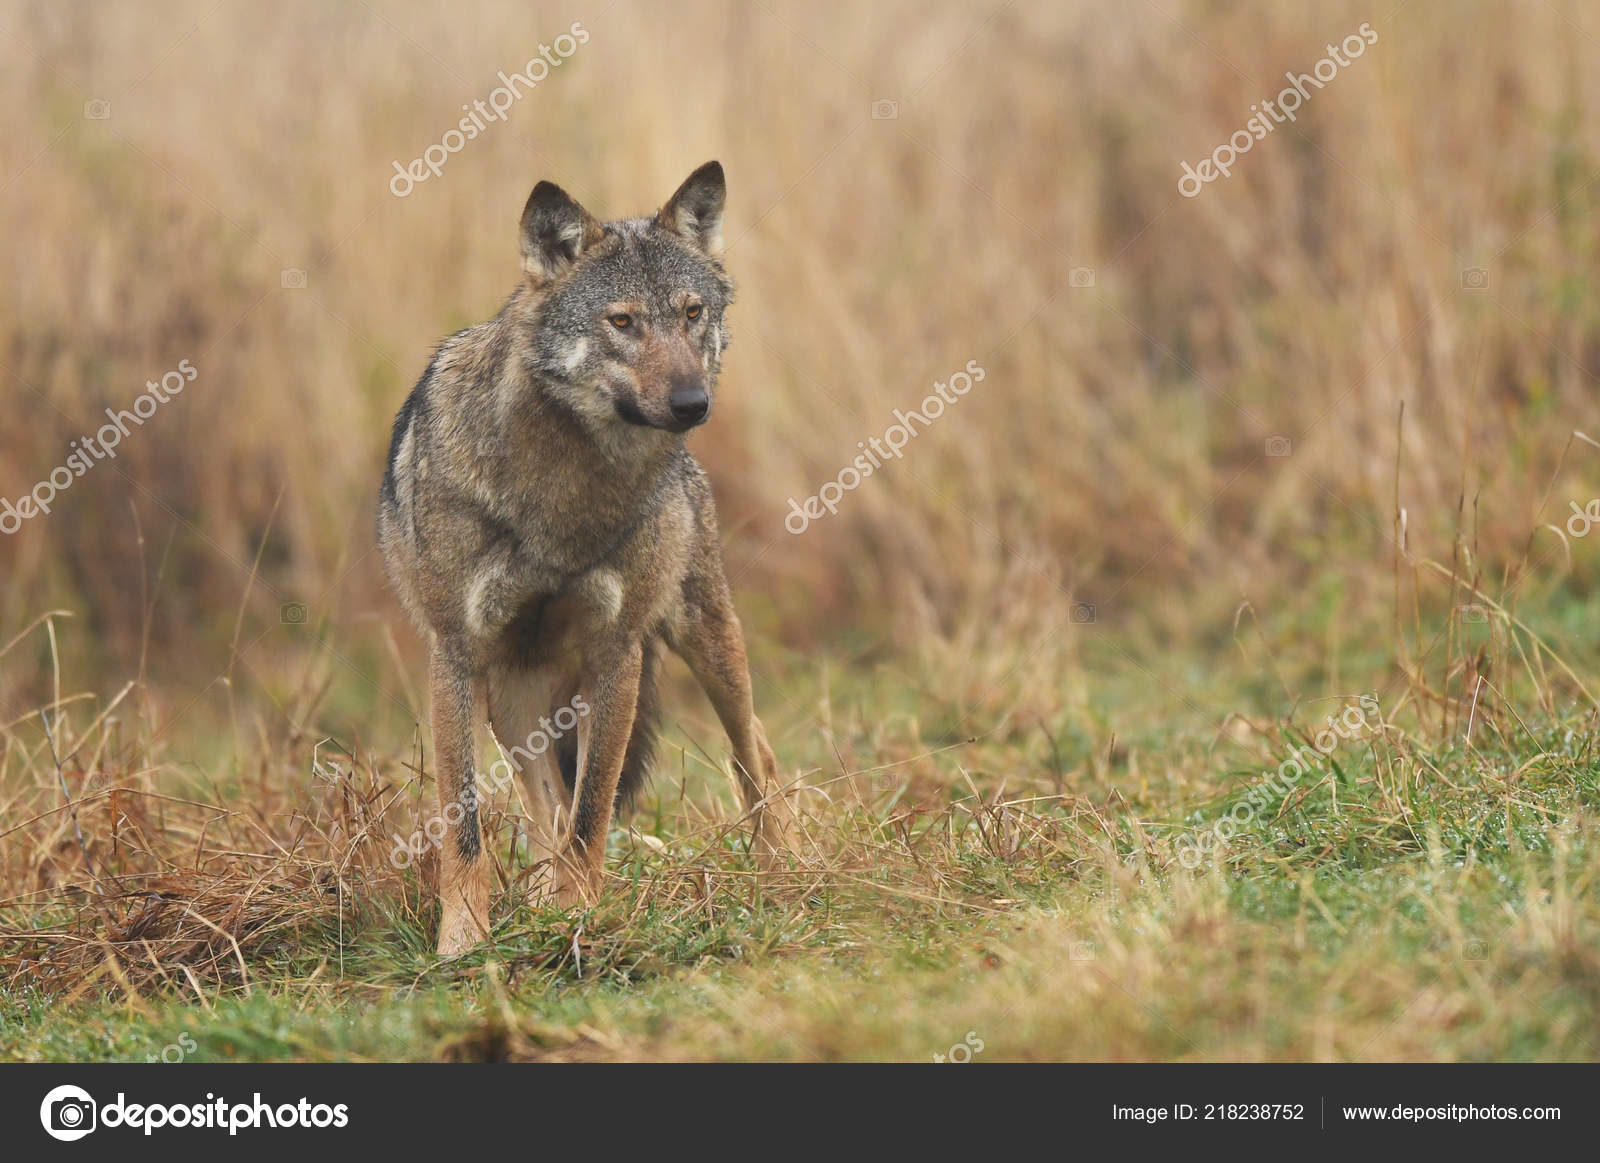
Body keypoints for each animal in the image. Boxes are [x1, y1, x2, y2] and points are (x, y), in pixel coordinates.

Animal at [378, 161, 791, 955]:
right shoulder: (454, 653)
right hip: (513, 702)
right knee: (542, 812)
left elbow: (594, 810)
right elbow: (469, 825)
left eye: (692, 313)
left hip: (707, 640)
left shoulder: (617, 650)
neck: (562, 494)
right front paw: (465, 941)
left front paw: (581, 920)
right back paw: (535, 906)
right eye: (622, 321)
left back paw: (783, 873)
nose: (692, 404)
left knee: (754, 750)